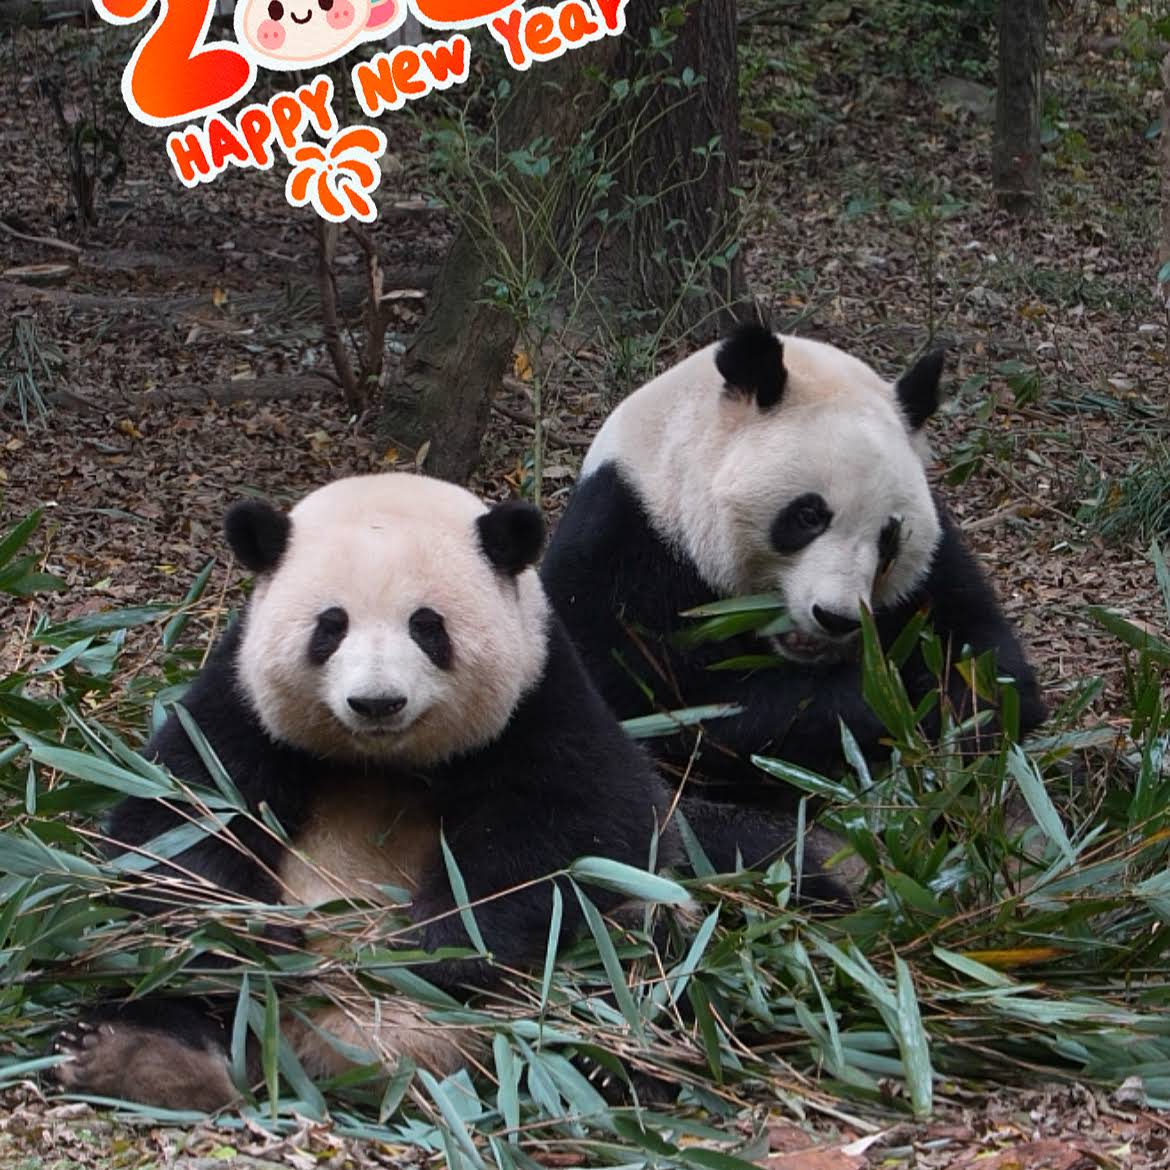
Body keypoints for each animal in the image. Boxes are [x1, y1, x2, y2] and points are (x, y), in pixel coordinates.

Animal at [53, 472, 840, 1112]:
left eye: (427, 627)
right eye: (329, 627)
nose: (376, 702)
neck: (385, 763)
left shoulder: (543, 701)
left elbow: (584, 835)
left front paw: (428, 945)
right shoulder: (242, 704)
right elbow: (173, 827)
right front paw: (259, 934)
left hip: (595, 980)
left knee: (633, 972)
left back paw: (612, 1067)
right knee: (156, 981)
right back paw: (140, 1058)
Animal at [541, 323, 1046, 796]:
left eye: (888, 537)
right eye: (808, 516)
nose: (836, 617)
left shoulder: (935, 566)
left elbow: (986, 661)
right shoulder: (624, 540)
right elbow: (670, 707)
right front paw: (881, 703)